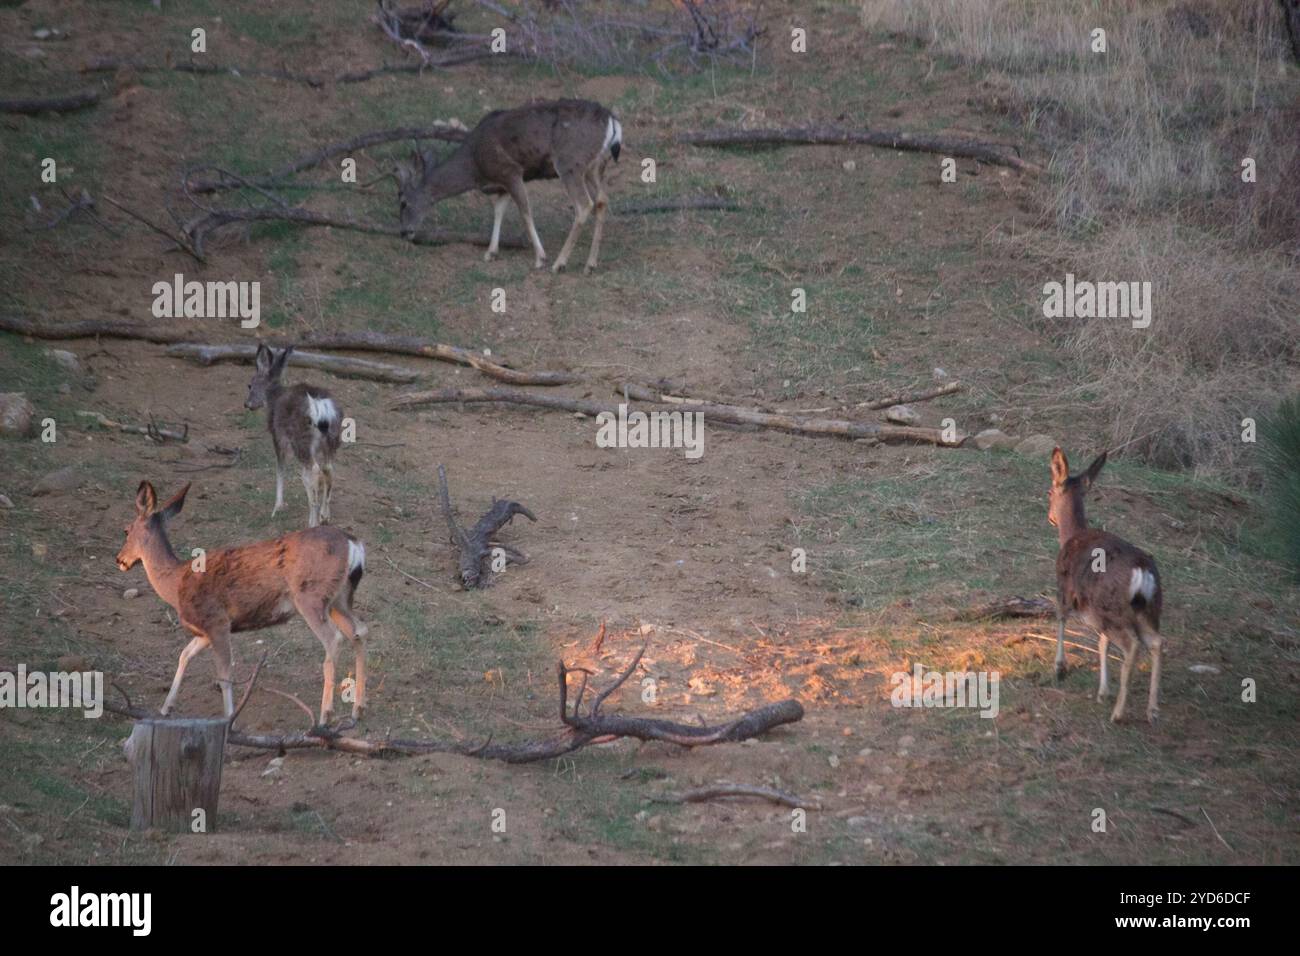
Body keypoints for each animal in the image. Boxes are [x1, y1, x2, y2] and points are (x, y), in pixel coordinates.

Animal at [115, 481, 369, 725]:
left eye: (126, 530)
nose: (119, 559)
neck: (176, 583)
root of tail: (354, 544)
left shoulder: (216, 621)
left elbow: (225, 675)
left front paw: (230, 719)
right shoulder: (205, 630)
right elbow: (185, 655)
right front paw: (165, 708)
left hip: (311, 596)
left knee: (334, 638)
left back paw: (326, 715)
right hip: (339, 599)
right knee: (359, 630)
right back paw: (357, 709)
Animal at [245, 344, 342, 528]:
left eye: (250, 385)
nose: (247, 404)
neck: (273, 399)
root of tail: (321, 407)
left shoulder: (277, 436)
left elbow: (280, 470)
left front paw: (277, 508)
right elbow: (303, 477)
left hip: (301, 442)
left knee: (316, 470)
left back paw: (313, 522)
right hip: (332, 440)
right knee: (328, 469)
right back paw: (324, 516)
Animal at [396, 98, 622, 274]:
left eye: (403, 202)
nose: (404, 232)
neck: (475, 165)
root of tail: (611, 120)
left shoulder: (510, 171)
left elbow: (525, 211)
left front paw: (540, 258)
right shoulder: (502, 182)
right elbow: (498, 211)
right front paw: (490, 252)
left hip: (569, 162)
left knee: (584, 205)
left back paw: (559, 264)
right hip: (594, 167)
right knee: (602, 200)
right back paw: (590, 265)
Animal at [1048, 448, 1165, 724]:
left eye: (1049, 492)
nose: (1050, 517)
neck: (1070, 536)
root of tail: (1141, 571)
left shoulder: (1063, 585)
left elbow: (1061, 618)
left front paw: (1059, 667)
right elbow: (1102, 643)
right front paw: (1102, 691)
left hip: (1113, 609)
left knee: (1132, 646)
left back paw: (1119, 713)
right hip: (1147, 609)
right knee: (1157, 642)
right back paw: (1152, 709)